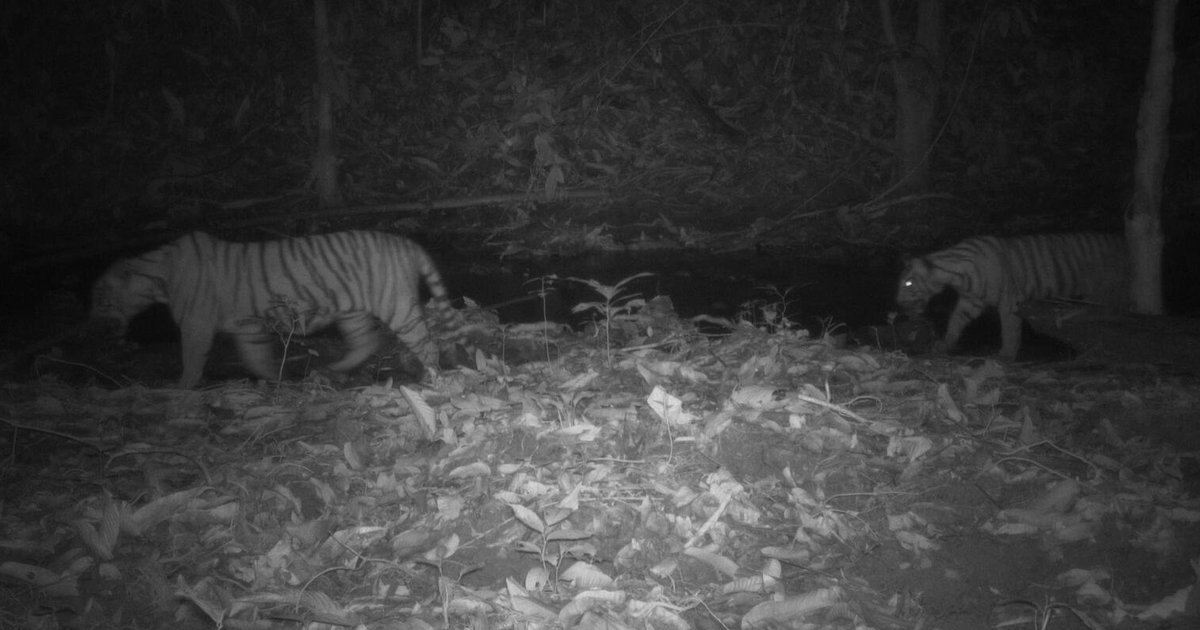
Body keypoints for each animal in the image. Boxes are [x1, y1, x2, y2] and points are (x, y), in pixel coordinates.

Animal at [90, 230, 456, 387]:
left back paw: (432, 377)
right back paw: (331, 369)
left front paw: (181, 388)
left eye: (103, 299)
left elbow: (192, 360)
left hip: (396, 306)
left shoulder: (196, 324)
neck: (158, 274)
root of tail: (406, 242)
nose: (95, 326)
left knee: (425, 342)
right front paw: (275, 381)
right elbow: (256, 357)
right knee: (367, 341)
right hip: (352, 311)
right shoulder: (247, 326)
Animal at [896, 232, 1128, 358]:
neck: (957, 276)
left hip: (1105, 289)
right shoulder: (971, 301)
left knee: (1110, 313)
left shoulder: (1009, 301)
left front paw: (1006, 354)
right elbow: (955, 321)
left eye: (908, 283)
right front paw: (945, 344)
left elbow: (1009, 329)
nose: (897, 304)